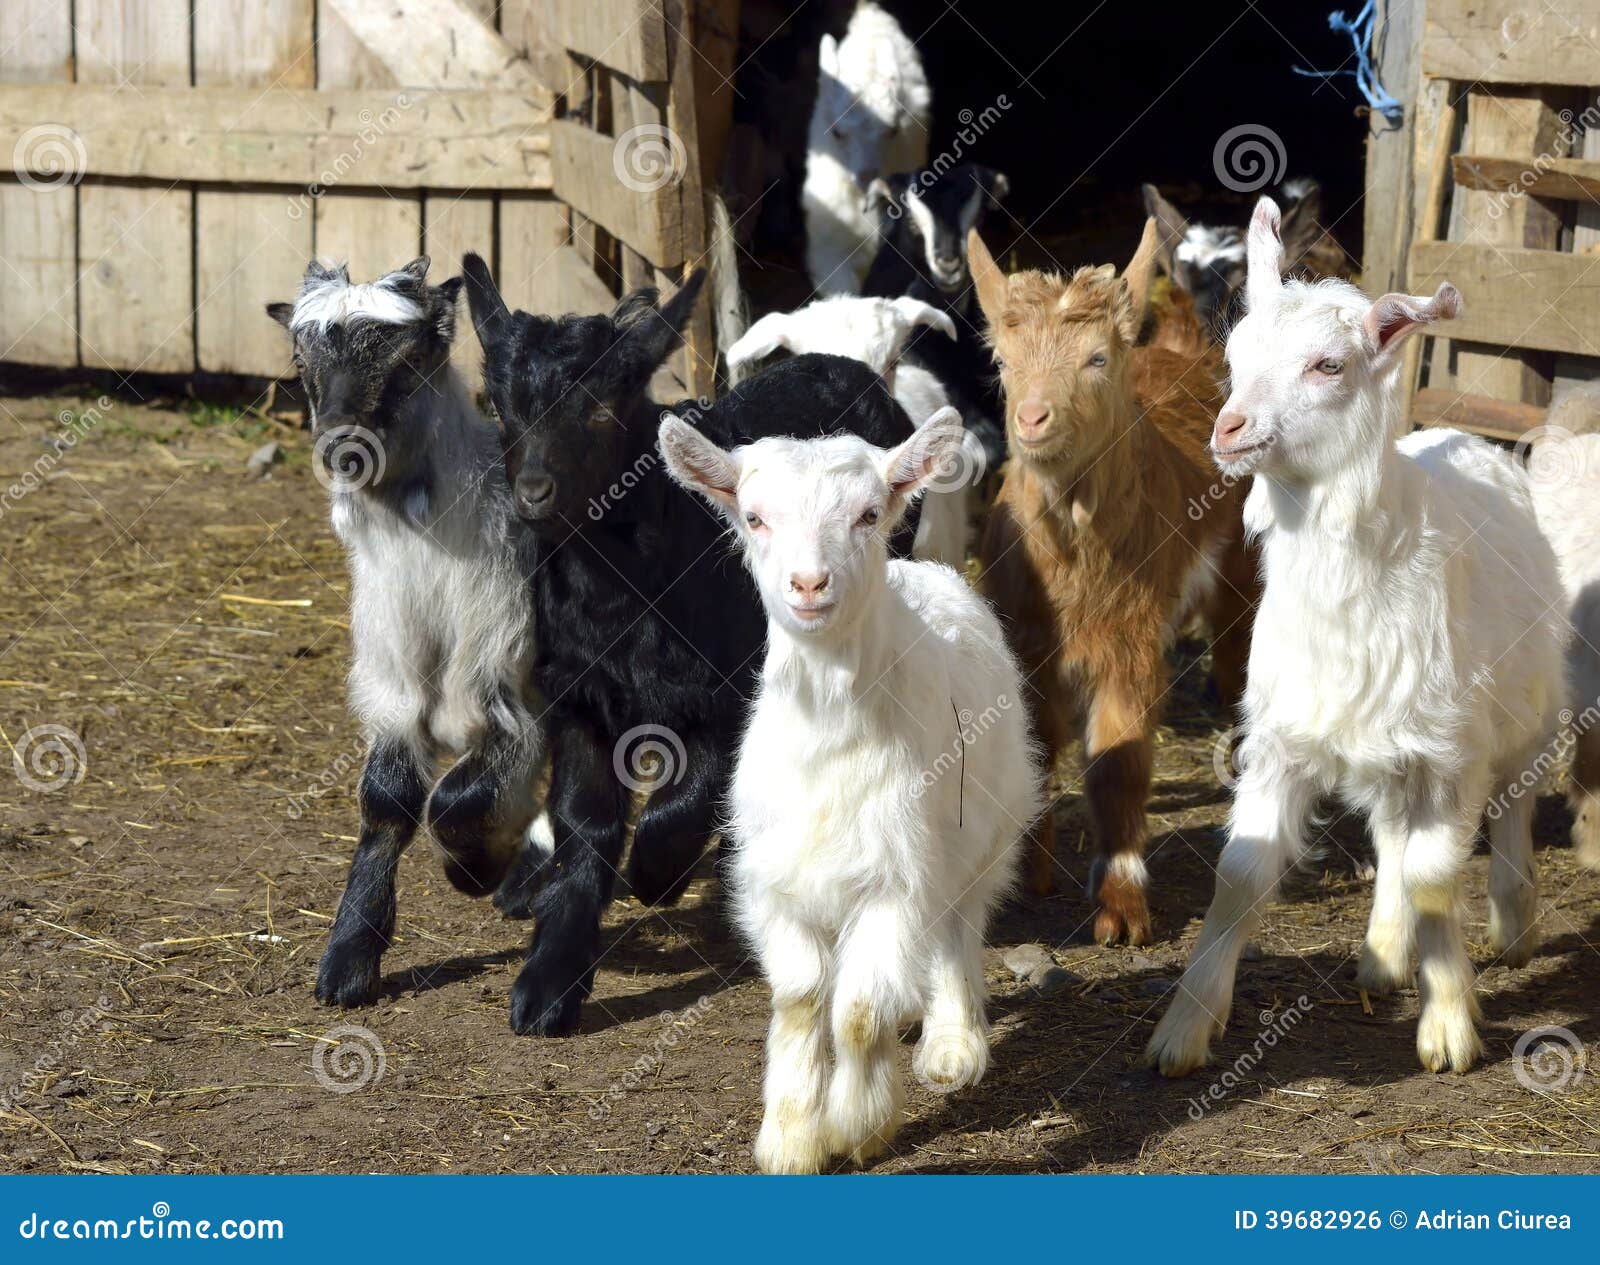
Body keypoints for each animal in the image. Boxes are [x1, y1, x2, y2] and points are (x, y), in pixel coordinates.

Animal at [267, 257, 548, 1008]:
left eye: (408, 359)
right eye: (301, 361)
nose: (343, 445)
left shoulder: (503, 676)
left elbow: (456, 800)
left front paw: (478, 869)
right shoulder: (391, 677)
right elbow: (387, 801)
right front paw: (348, 961)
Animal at [462, 253, 924, 1035]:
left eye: (603, 406)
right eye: (498, 404)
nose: (532, 493)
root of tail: (843, 366)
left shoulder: (727, 688)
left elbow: (687, 800)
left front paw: (658, 876)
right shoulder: (579, 696)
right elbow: (586, 825)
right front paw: (549, 982)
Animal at [659, 407, 1040, 1173]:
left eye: (867, 513)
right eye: (754, 516)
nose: (810, 584)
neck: (829, 727)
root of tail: (927, 570)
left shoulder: (894, 875)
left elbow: (860, 1011)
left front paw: (859, 1124)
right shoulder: (774, 878)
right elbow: (802, 996)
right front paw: (790, 1135)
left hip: (982, 832)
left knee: (957, 922)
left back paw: (952, 1044)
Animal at [968, 220, 1257, 939]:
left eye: (1096, 359)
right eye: (1003, 363)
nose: (1032, 419)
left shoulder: (1130, 638)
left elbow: (1118, 760)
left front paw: (1122, 907)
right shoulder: (1025, 640)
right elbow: (1038, 744)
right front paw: (1029, 872)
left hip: (1241, 569)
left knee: (1237, 643)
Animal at [1147, 198, 1567, 1077]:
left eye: (1328, 366)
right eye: (1235, 355)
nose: (1230, 428)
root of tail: (1461, 438)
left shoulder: (1449, 751)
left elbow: (1439, 878)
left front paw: (1448, 1027)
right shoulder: (1283, 735)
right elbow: (1239, 876)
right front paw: (1184, 1029)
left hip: (1528, 708)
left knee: (1513, 802)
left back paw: (1513, 923)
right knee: (1392, 831)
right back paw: (1382, 949)